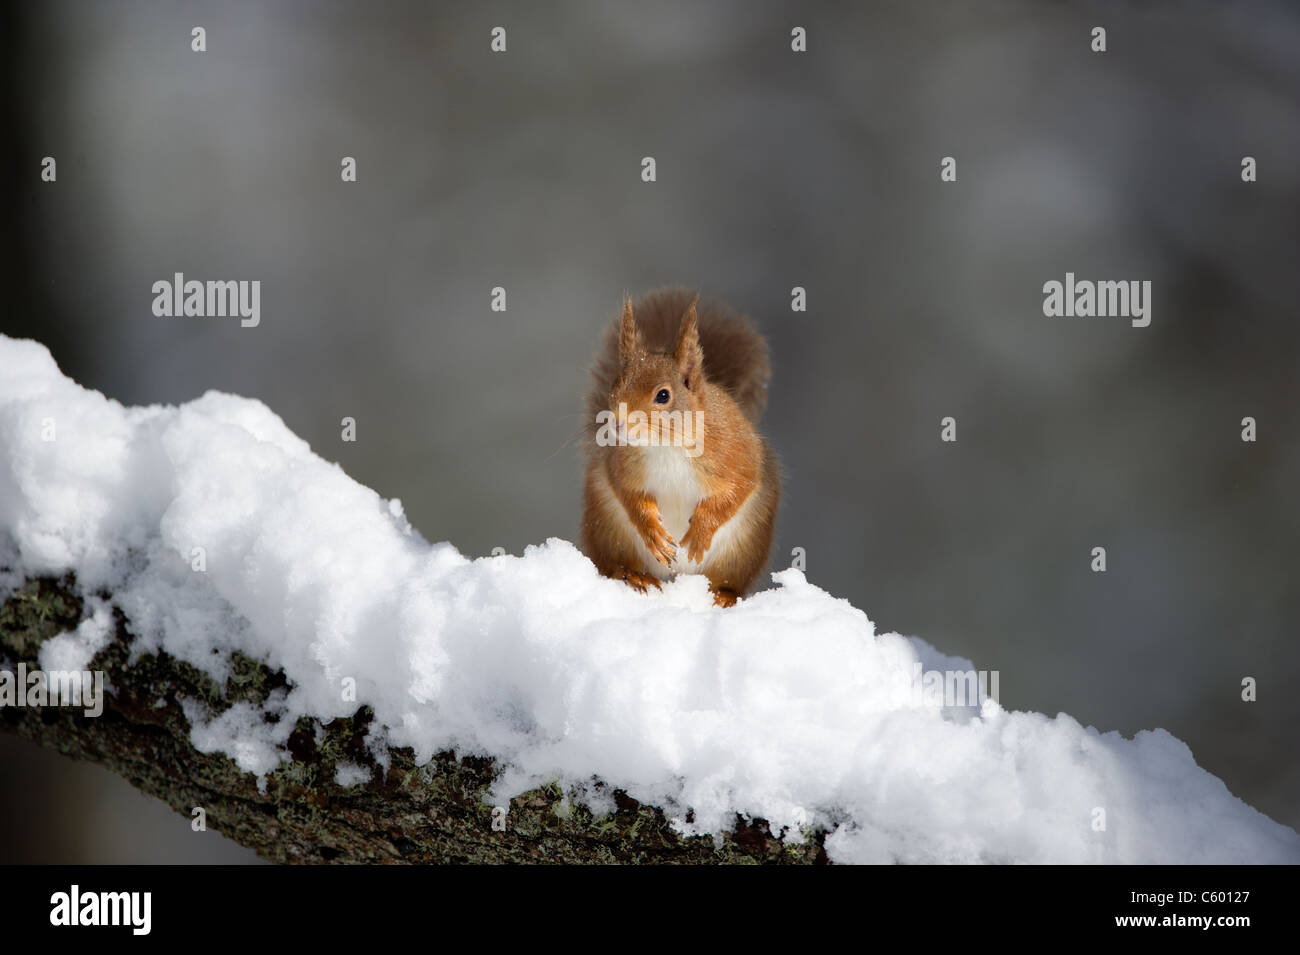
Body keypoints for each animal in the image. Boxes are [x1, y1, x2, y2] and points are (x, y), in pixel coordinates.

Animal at [579, 287, 781, 607]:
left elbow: (738, 489)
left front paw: (700, 531)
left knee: (730, 581)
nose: (617, 424)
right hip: (609, 529)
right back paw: (634, 575)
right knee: (614, 564)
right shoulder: (621, 464)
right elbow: (628, 494)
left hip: (743, 549)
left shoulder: (736, 454)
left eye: (663, 395)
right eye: (615, 385)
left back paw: (723, 594)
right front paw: (652, 532)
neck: (666, 446)